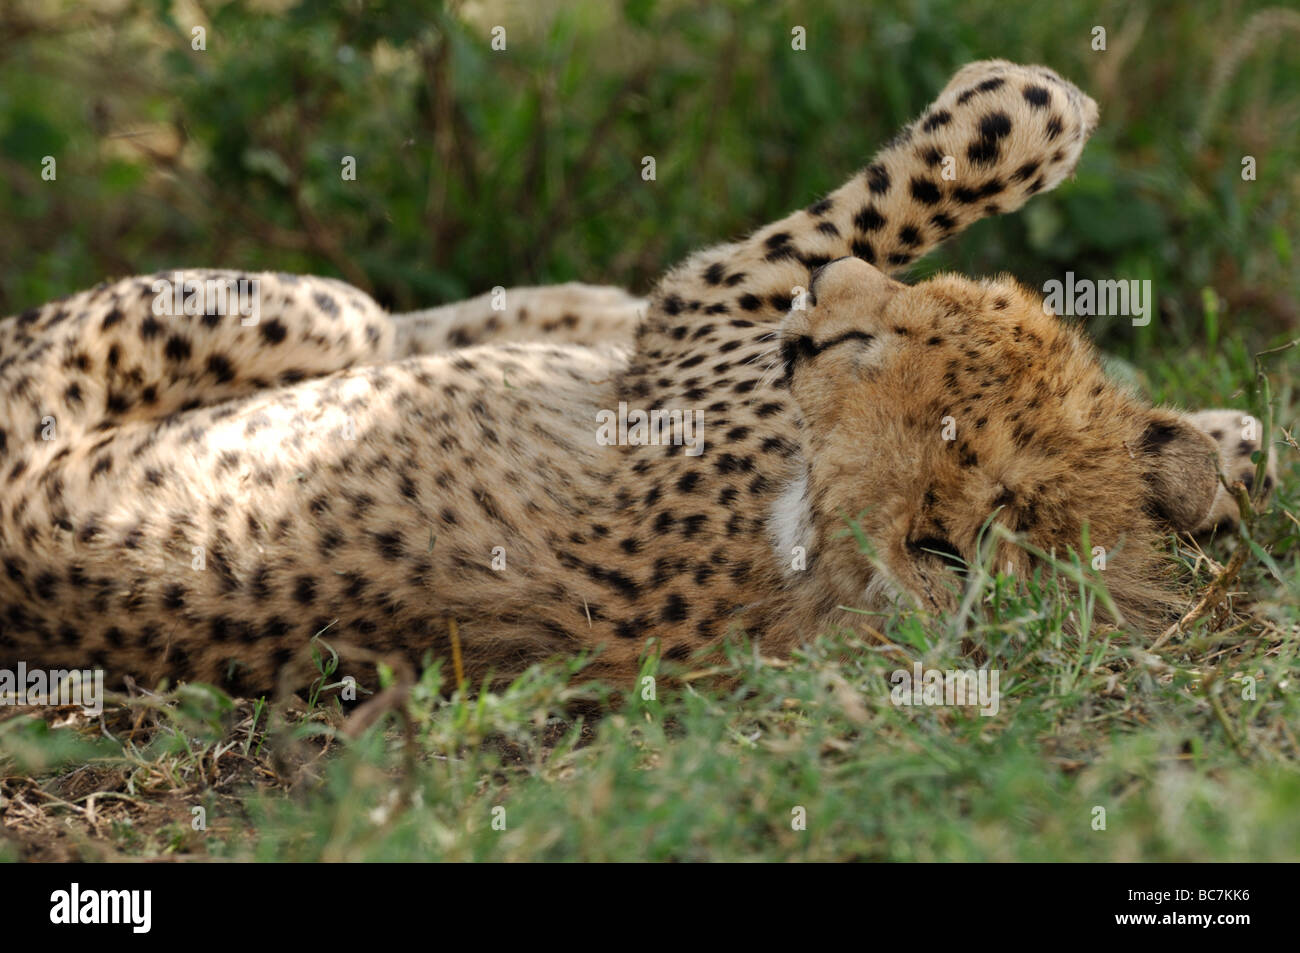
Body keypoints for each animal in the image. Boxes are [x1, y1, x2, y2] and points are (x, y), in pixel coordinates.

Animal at [0, 60, 1275, 698]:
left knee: (370, 317)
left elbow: (897, 193)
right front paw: (1218, 448)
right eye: (930, 319)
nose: (823, 321)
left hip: (251, 329)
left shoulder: (708, 308)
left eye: (884, 342)